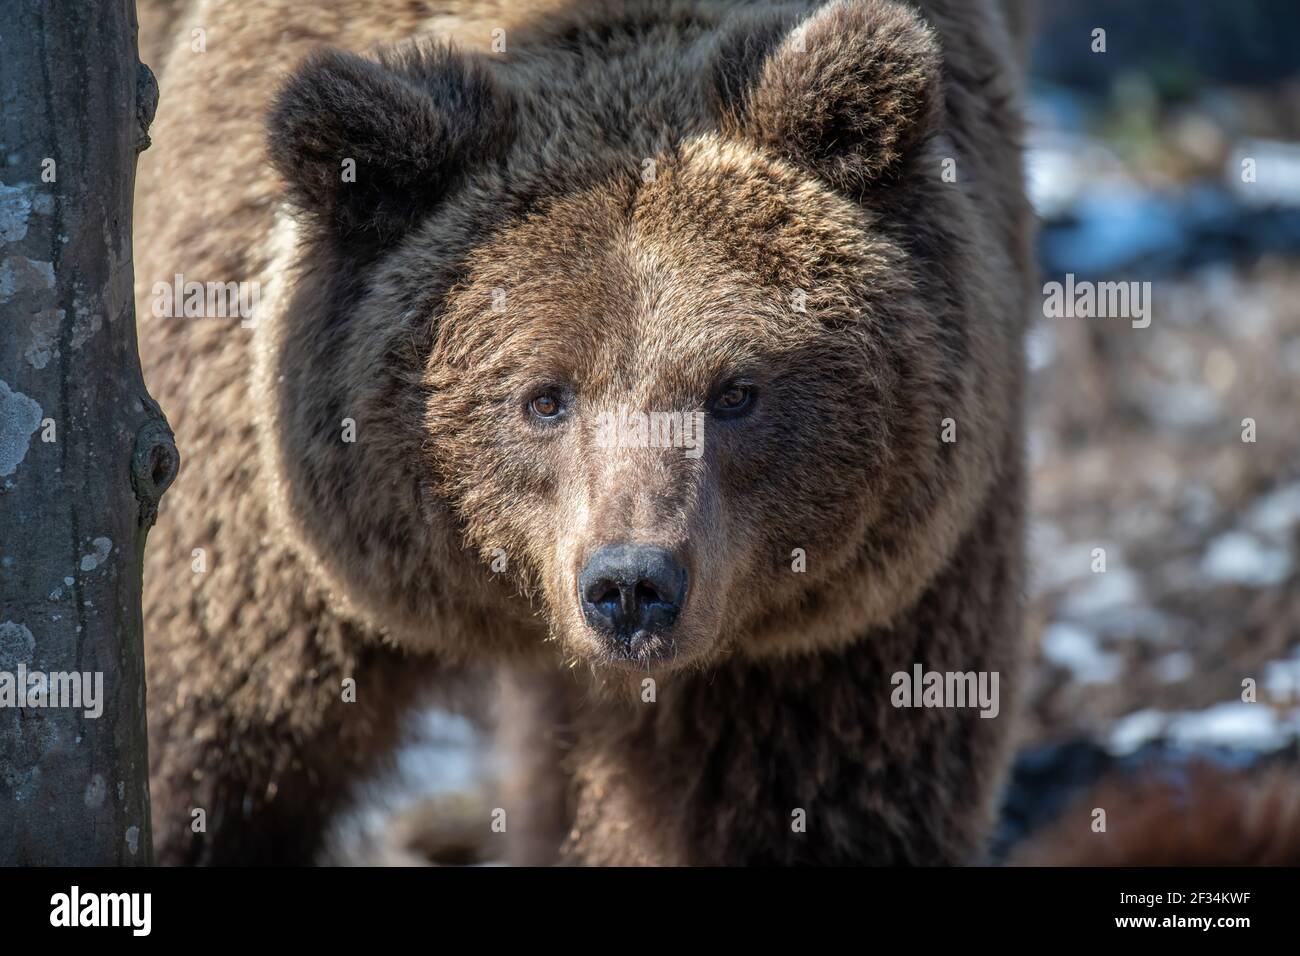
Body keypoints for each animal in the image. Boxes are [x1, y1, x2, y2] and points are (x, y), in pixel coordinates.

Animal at [135, 0, 1033, 865]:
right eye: (544, 397)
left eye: (735, 391)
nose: (632, 585)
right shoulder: (257, 520)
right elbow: (212, 744)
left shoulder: (856, 608)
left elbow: (809, 800)